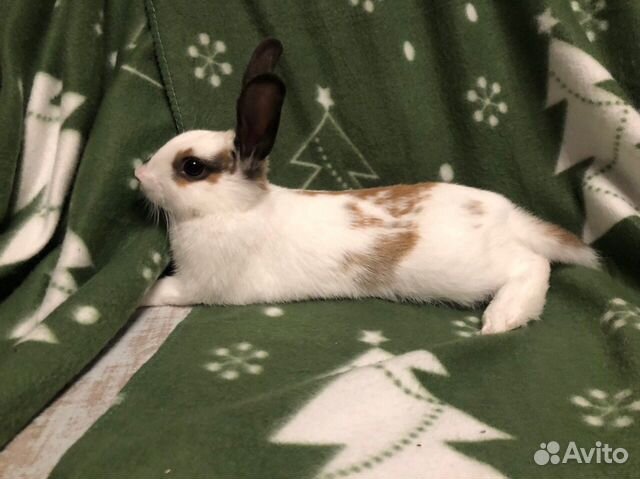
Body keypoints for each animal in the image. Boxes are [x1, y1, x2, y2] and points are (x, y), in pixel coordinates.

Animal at [135, 38, 599, 334]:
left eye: (192, 167)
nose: (140, 176)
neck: (237, 209)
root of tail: (507, 216)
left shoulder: (199, 284)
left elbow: (164, 292)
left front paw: (138, 299)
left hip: (469, 271)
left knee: (533, 264)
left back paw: (502, 318)